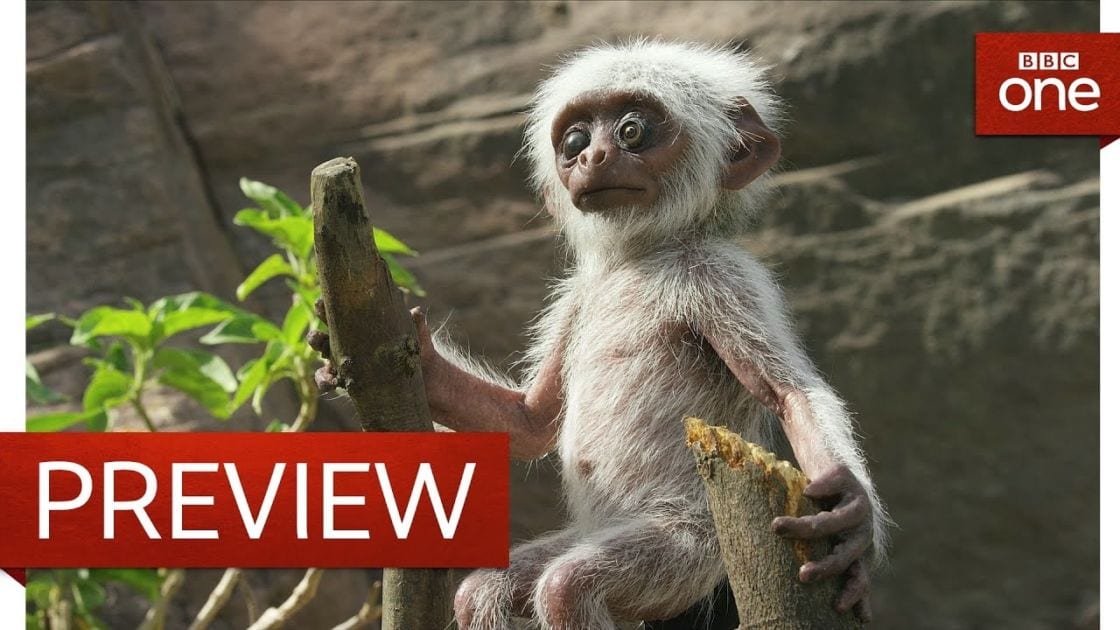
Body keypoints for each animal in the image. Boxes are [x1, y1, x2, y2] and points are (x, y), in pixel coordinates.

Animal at [311, 39, 889, 629]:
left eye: (633, 131)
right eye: (574, 141)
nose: (593, 157)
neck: (636, 261)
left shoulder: (722, 277)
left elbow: (789, 391)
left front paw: (851, 508)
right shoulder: (577, 297)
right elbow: (531, 420)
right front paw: (412, 357)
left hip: (689, 551)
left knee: (568, 585)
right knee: (485, 589)